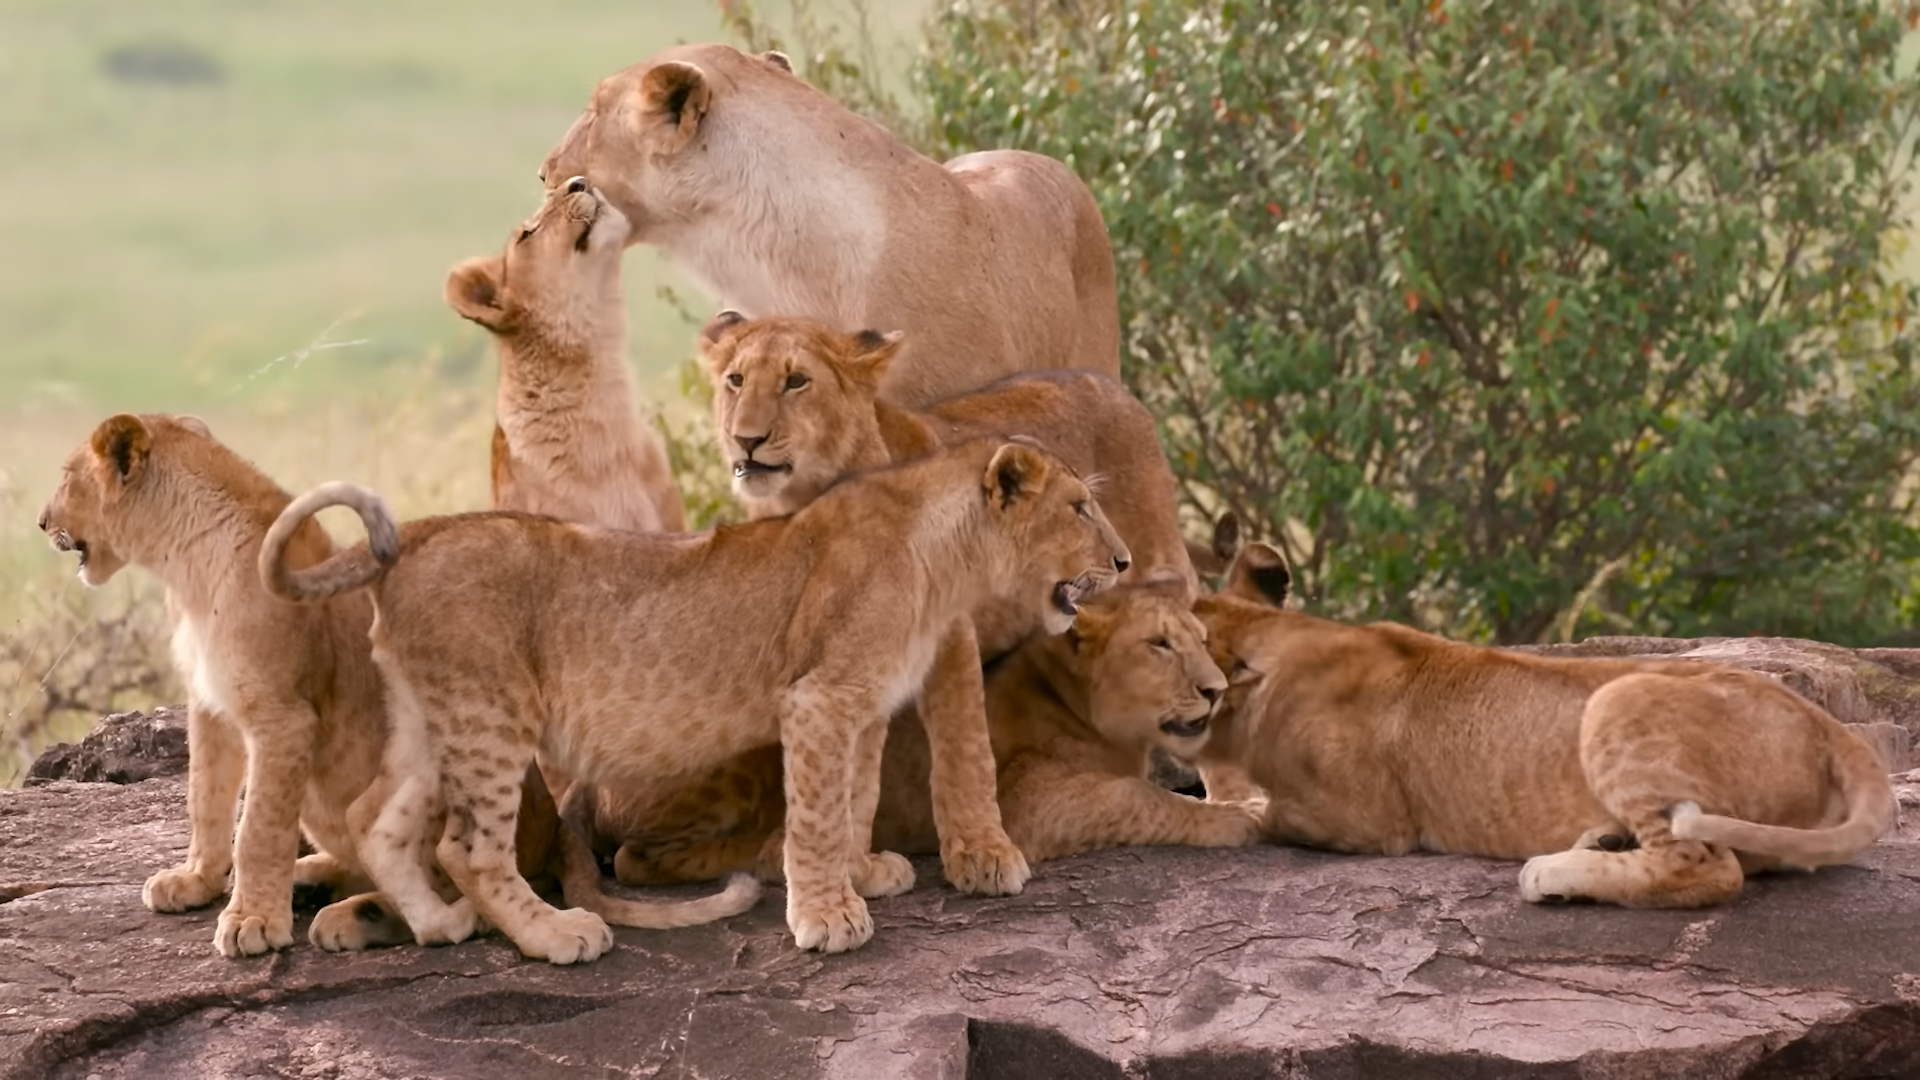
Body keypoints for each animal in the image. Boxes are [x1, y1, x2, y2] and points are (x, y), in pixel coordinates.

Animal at [35, 414, 753, 959]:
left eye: (66, 479)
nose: (41, 523)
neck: (183, 567)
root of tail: (558, 830)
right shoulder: (210, 707)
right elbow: (207, 805)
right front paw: (196, 882)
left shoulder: (282, 716)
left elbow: (257, 824)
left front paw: (251, 922)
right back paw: (311, 883)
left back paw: (361, 916)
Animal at [258, 437, 1131, 960]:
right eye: (1079, 508)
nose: (1124, 561)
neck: (946, 560)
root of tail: (421, 531)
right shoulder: (819, 699)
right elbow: (817, 813)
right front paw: (827, 917)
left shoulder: (864, 707)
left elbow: (854, 799)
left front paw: (859, 874)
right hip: (492, 715)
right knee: (466, 849)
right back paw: (555, 933)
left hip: (432, 719)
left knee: (376, 817)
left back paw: (440, 925)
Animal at [1194, 541, 1897, 908]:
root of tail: (1828, 724)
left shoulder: (1370, 821)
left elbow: (1267, 812)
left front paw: (1234, 808)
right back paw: (1603, 841)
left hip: (1618, 697)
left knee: (1707, 868)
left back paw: (1551, 874)